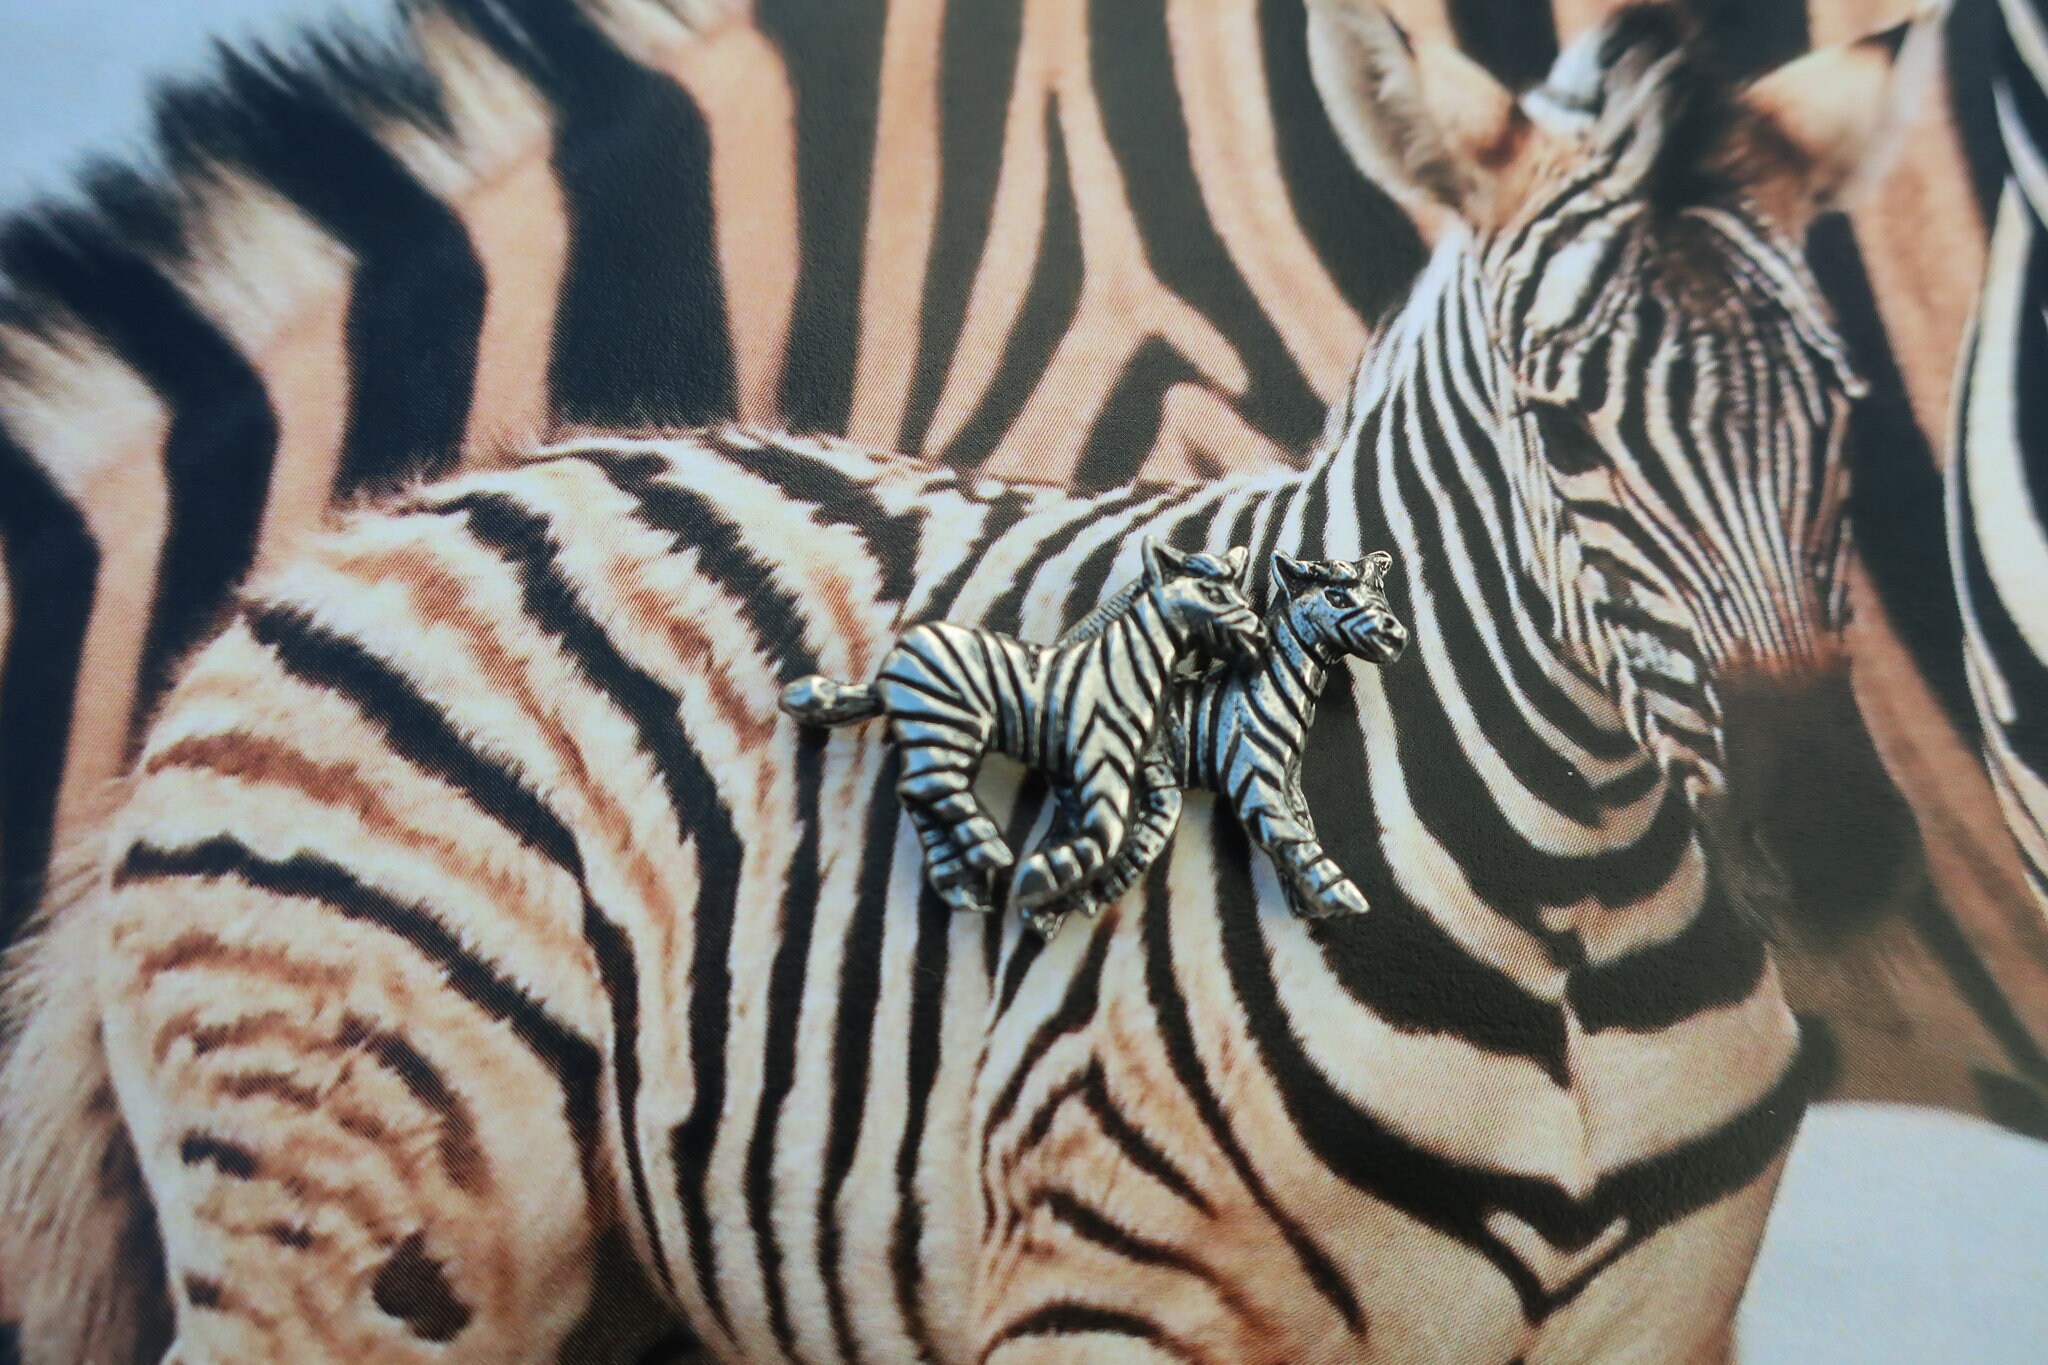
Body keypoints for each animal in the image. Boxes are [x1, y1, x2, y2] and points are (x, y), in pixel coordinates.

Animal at [779, 539, 1265, 916]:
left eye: (1242, 595)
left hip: (931, 736)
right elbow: (1108, 828)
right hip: (950, 729)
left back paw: (962, 880)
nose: (1260, 638)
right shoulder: (1100, 757)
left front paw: (1058, 877)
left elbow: (1094, 825)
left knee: (919, 794)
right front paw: (1042, 877)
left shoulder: (1073, 775)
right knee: (926, 787)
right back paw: (987, 849)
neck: (1124, 665)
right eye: (1212, 593)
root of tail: (886, 667)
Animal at [1038, 550, 1410, 936]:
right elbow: (1293, 838)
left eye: (1380, 593)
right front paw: (1340, 898)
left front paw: (1304, 904)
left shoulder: (1290, 782)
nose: (1397, 636)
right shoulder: (1252, 784)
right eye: (1336, 597)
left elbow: (1303, 829)